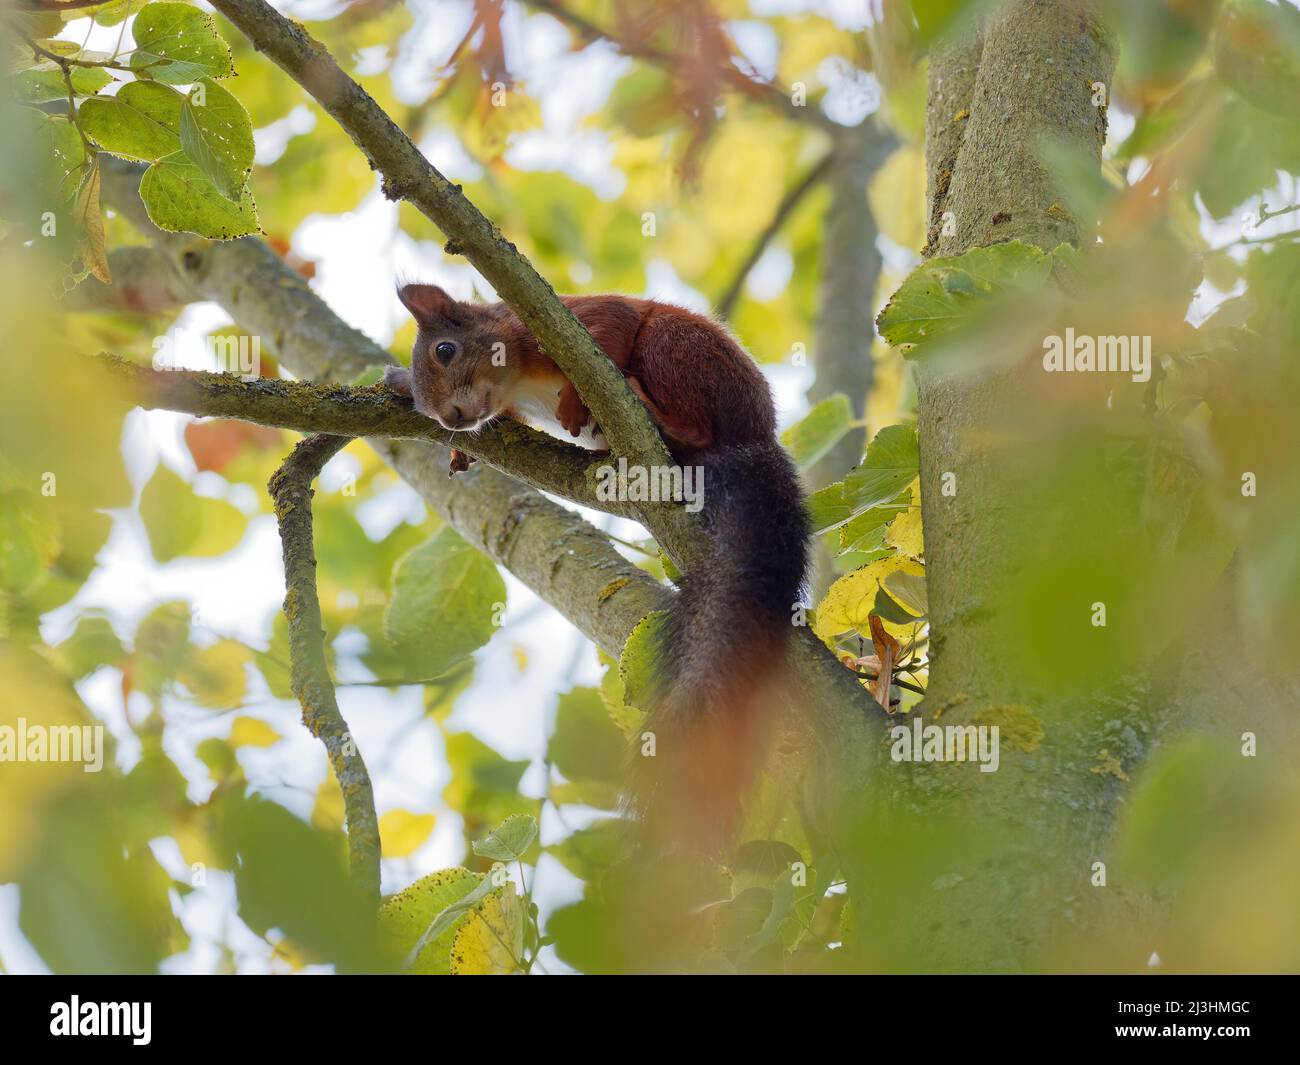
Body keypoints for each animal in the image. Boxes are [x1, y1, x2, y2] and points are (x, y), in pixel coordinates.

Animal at [386, 283, 810, 846]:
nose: (451, 420)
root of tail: (756, 438)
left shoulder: (555, 319)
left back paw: (663, 419)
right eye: (418, 397)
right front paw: (461, 452)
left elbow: (613, 323)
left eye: (445, 350)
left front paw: (569, 399)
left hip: (678, 350)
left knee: (688, 409)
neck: (517, 379)